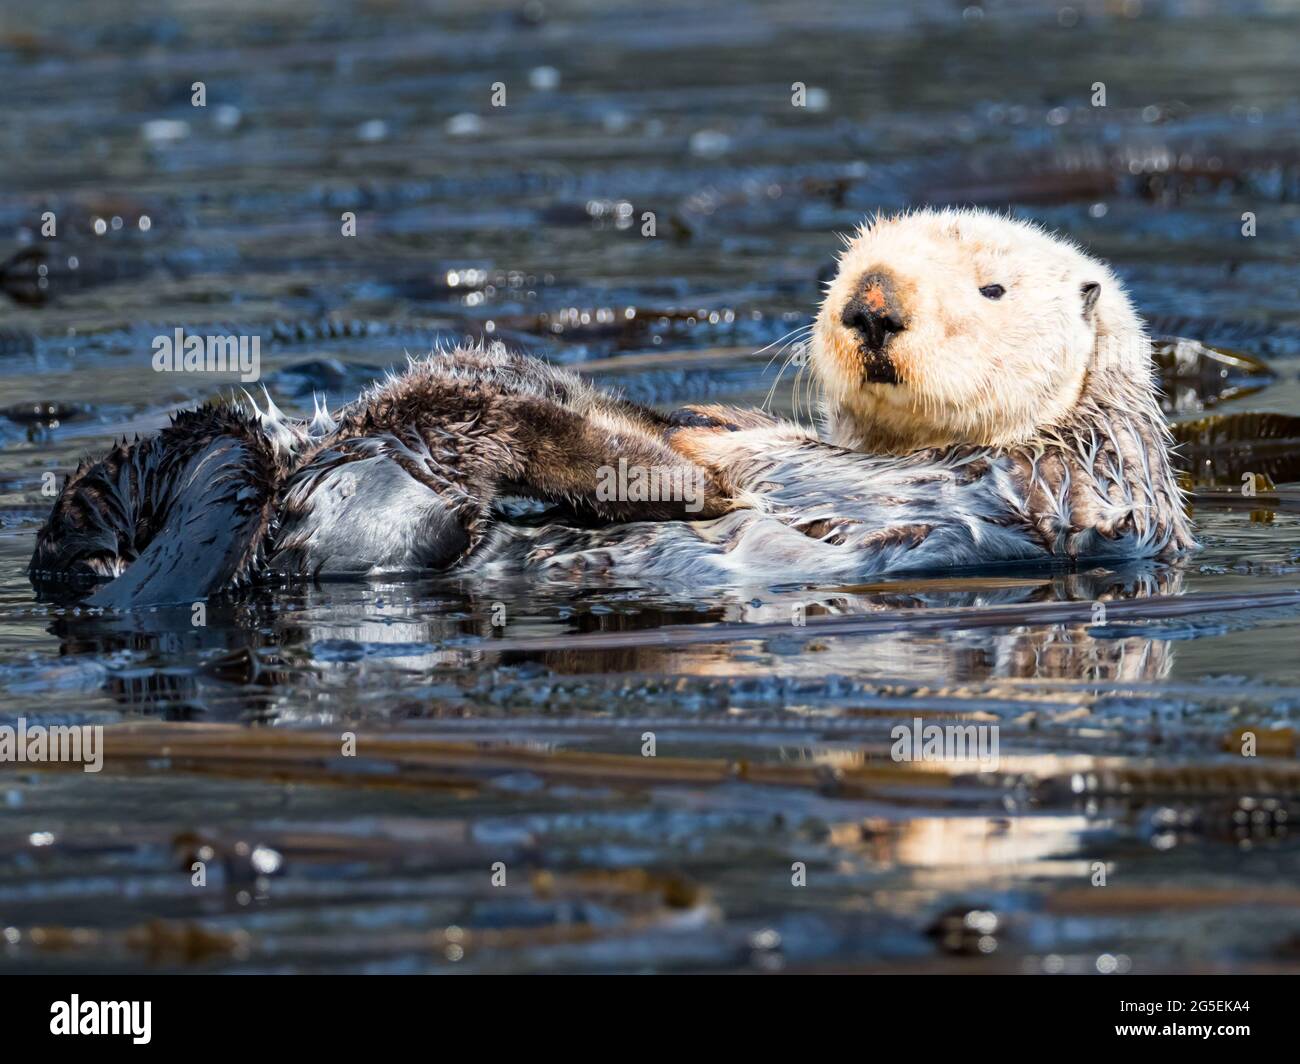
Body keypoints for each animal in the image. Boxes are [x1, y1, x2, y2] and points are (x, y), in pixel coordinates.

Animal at [29, 209, 1194, 607]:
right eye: (849, 268)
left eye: (991, 288)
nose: (872, 304)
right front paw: (709, 419)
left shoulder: (1056, 474)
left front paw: (709, 447)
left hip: (395, 482)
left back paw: (657, 462)